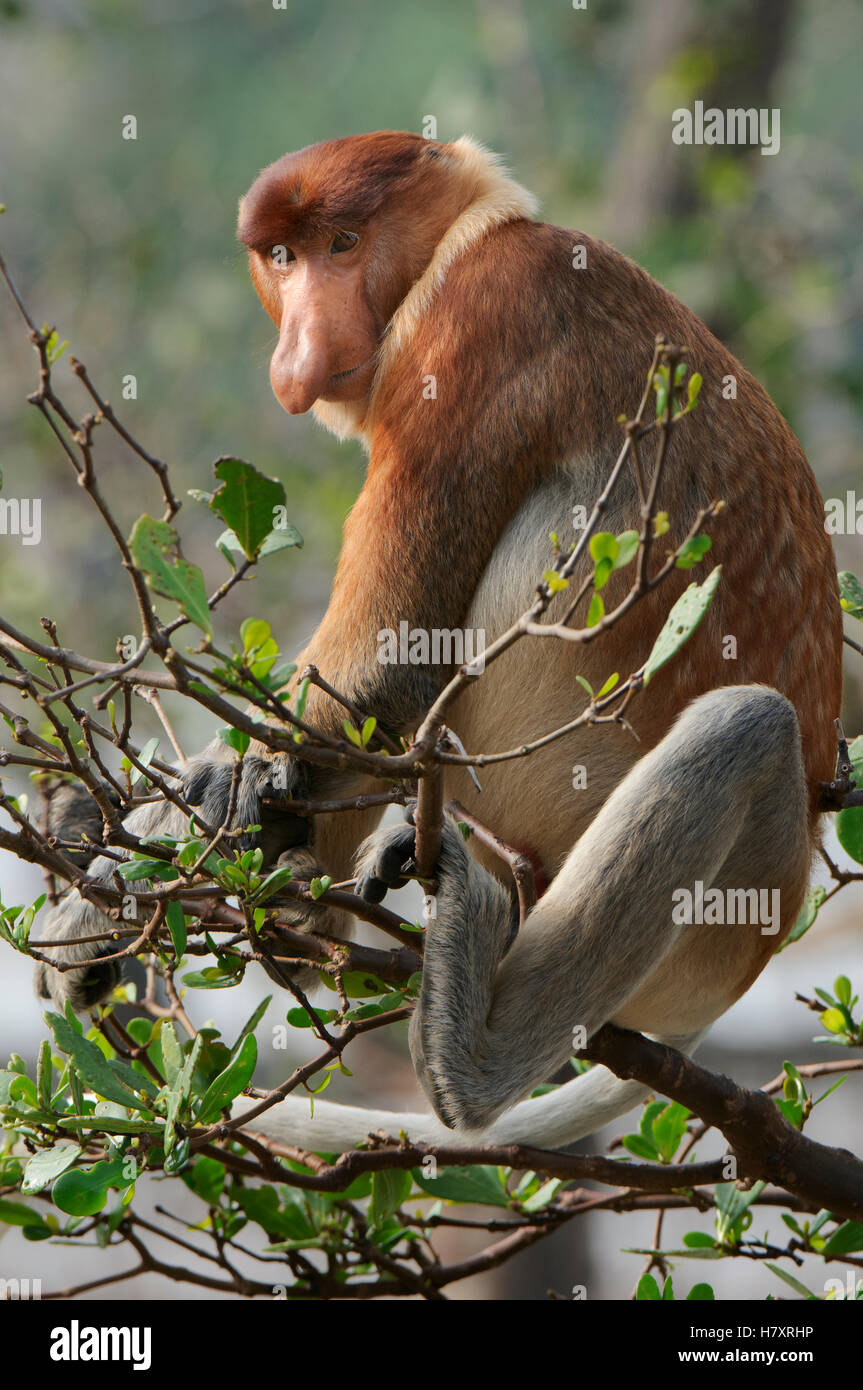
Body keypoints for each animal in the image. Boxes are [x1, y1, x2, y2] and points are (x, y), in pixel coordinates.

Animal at [32, 132, 843, 1151]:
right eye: (283, 256)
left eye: (344, 243)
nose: (299, 352)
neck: (468, 234)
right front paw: (133, 825)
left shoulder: (476, 324)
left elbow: (387, 661)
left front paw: (140, 852)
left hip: (726, 928)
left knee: (748, 725)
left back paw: (469, 1058)